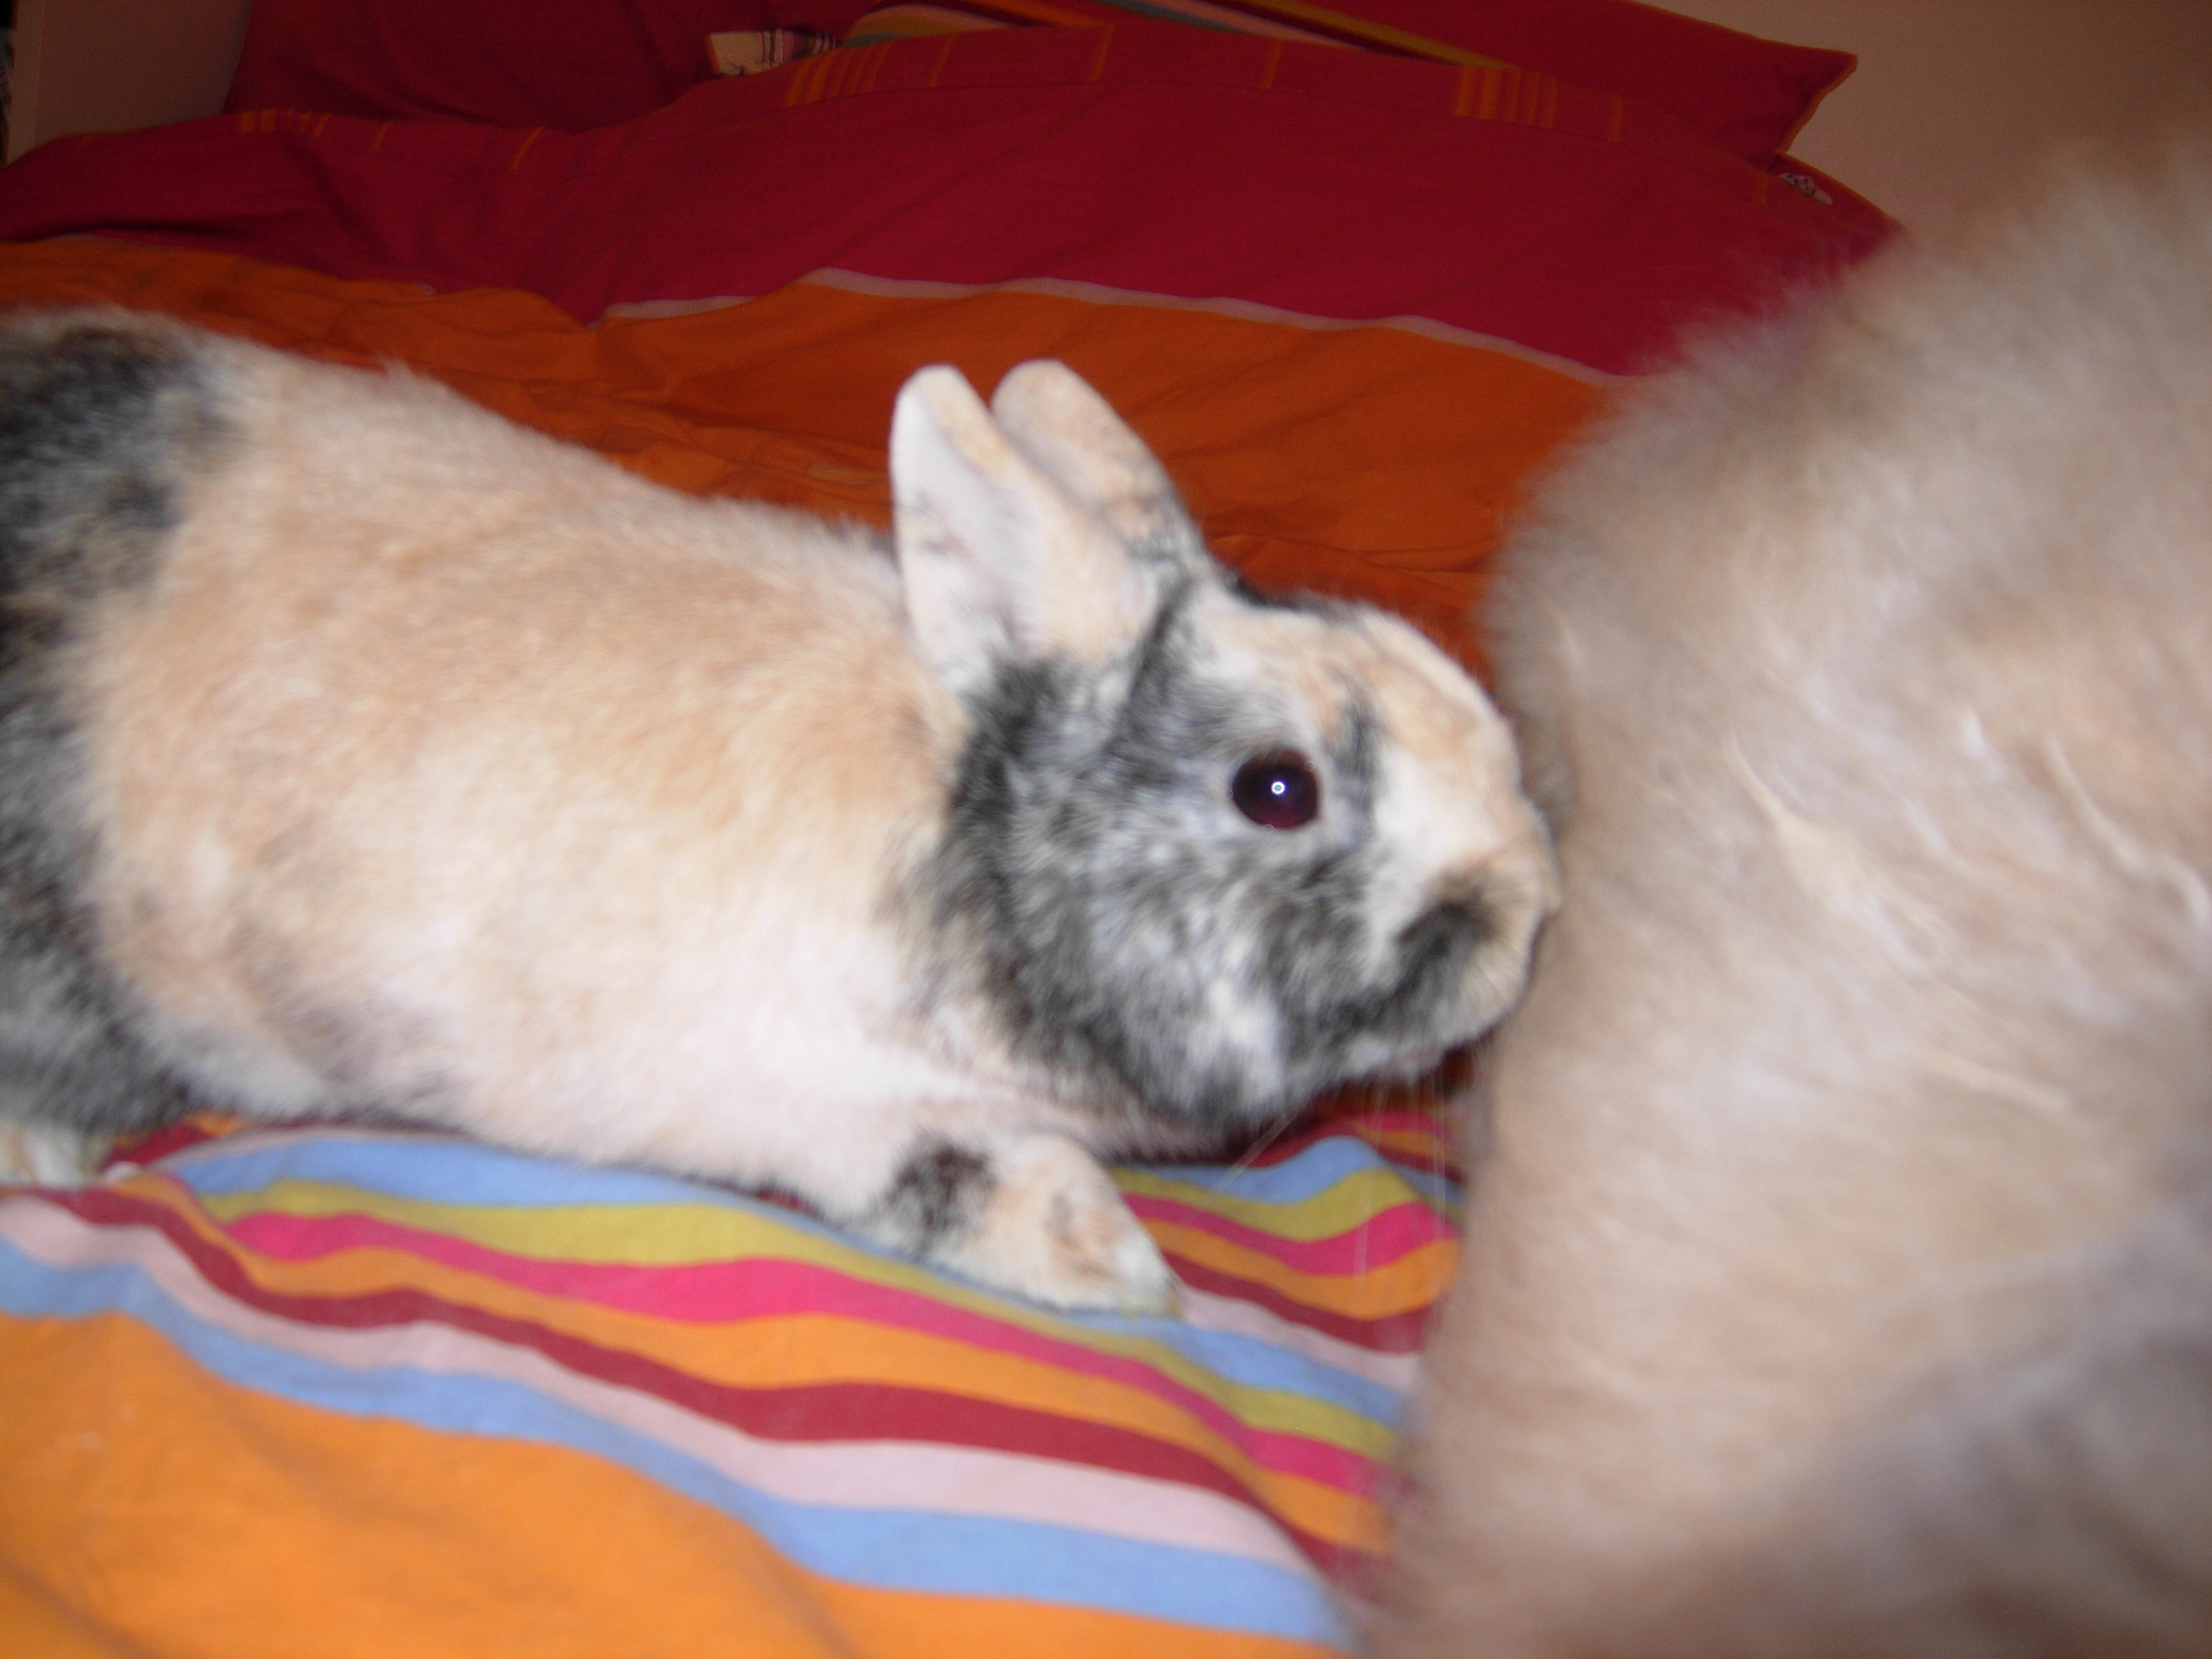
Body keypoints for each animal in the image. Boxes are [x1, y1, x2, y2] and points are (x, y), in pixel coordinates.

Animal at [0, 310, 1559, 1314]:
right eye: (1275, 789)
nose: (1529, 917)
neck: (965, 827)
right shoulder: (829, 1114)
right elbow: (963, 1191)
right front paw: (1120, 1272)